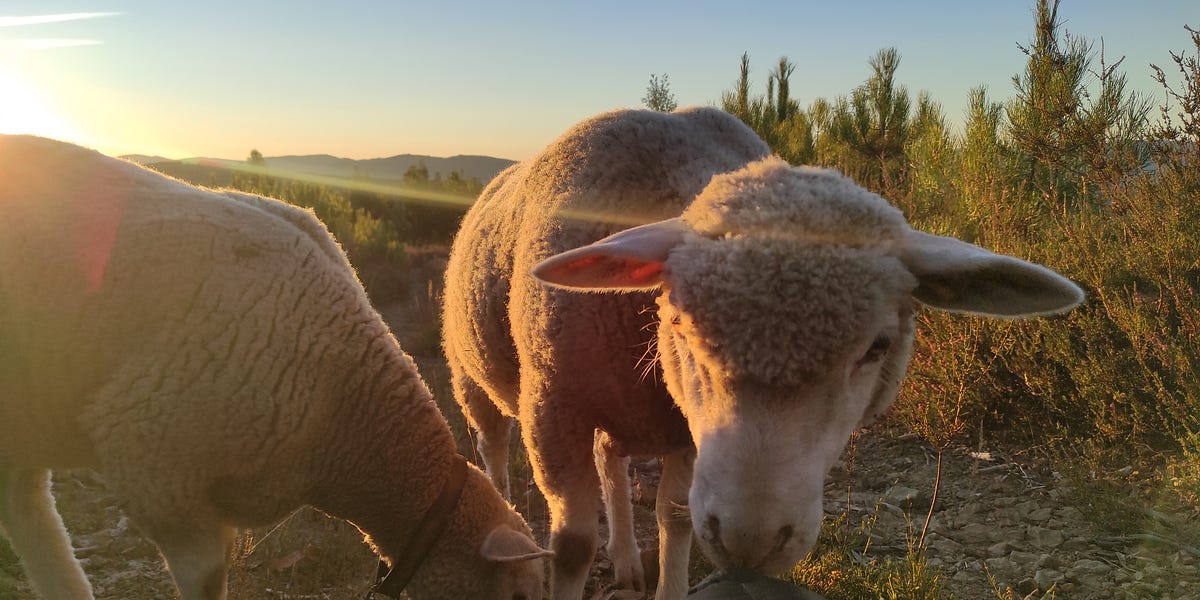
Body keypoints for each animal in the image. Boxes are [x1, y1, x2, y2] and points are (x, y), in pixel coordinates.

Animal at [442, 107, 1084, 600]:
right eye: (679, 322)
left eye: (877, 347)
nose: (751, 540)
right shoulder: (554, 405)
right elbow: (573, 545)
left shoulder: (680, 426)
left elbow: (675, 520)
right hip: (472, 376)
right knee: (493, 449)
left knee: (611, 465)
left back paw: (626, 560)